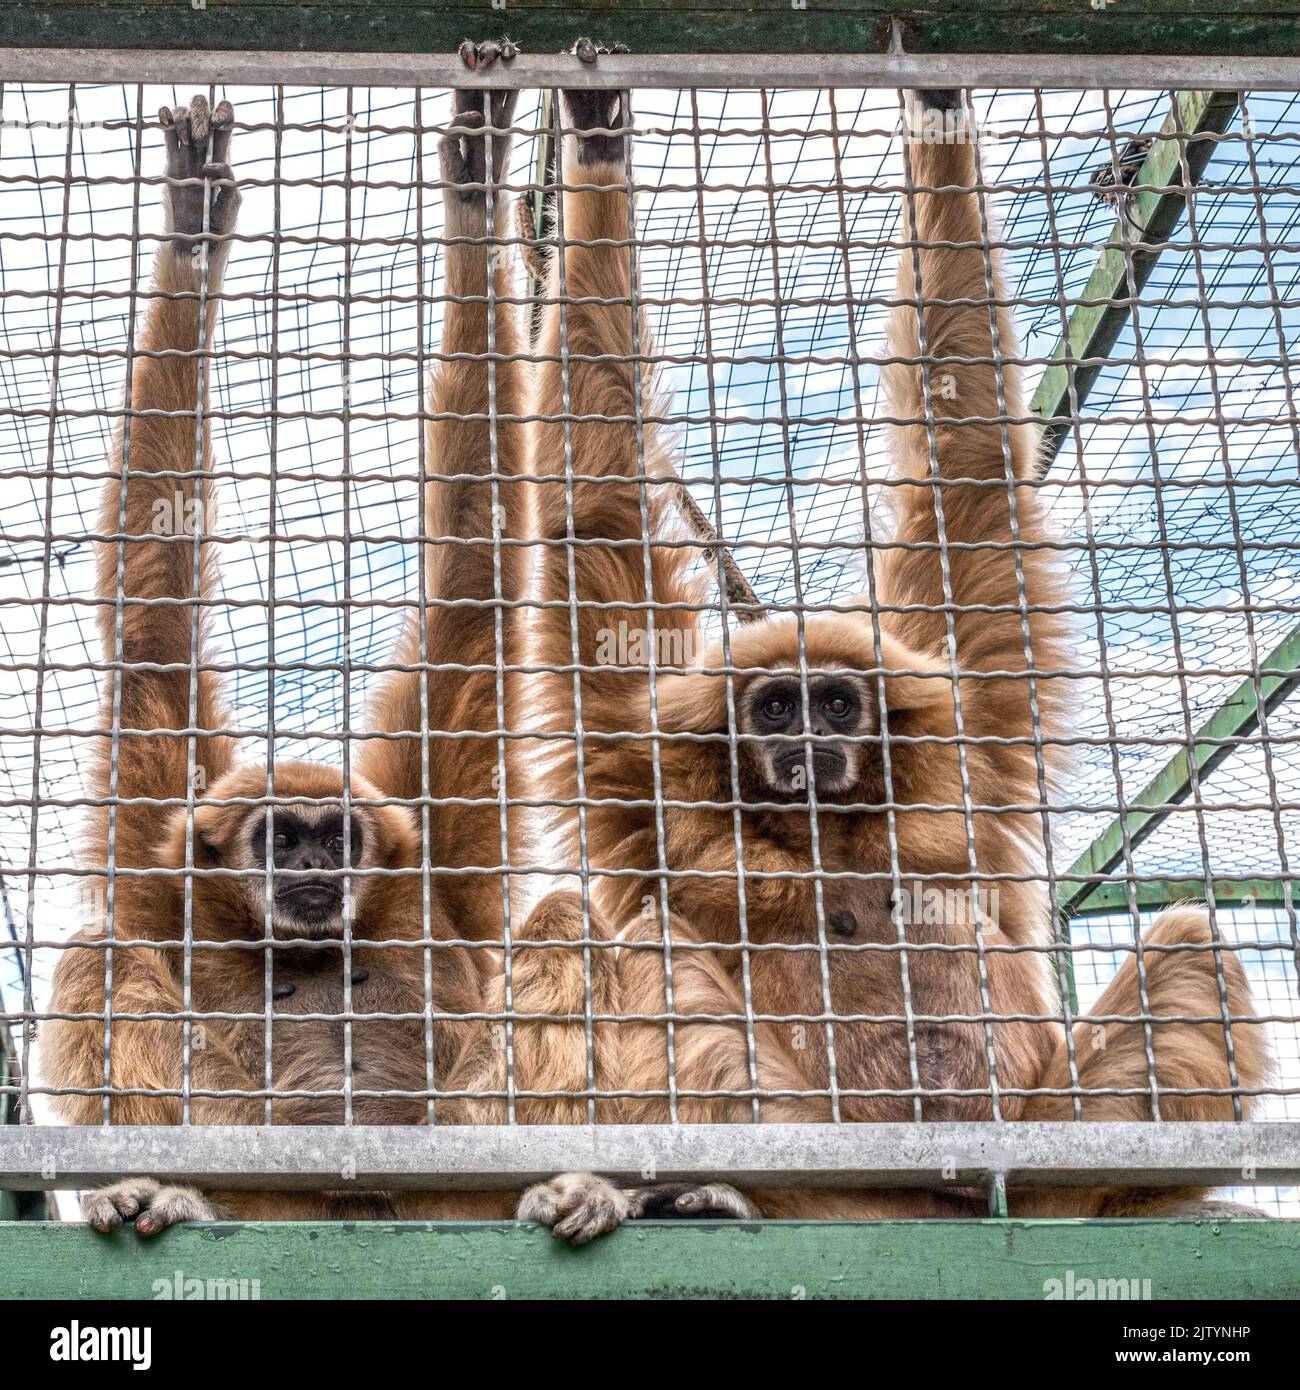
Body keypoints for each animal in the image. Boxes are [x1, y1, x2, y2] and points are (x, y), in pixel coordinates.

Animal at [511, 77, 1273, 1240]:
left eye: (834, 703)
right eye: (776, 707)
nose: (810, 738)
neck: (832, 828)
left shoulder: (967, 728)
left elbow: (967, 471)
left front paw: (936, 98)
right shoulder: (647, 774)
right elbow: (593, 531)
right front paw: (595, 137)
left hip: (1043, 1132)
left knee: (1185, 935)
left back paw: (1128, 1194)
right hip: (834, 1174)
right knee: (620, 933)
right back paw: (703, 1188)